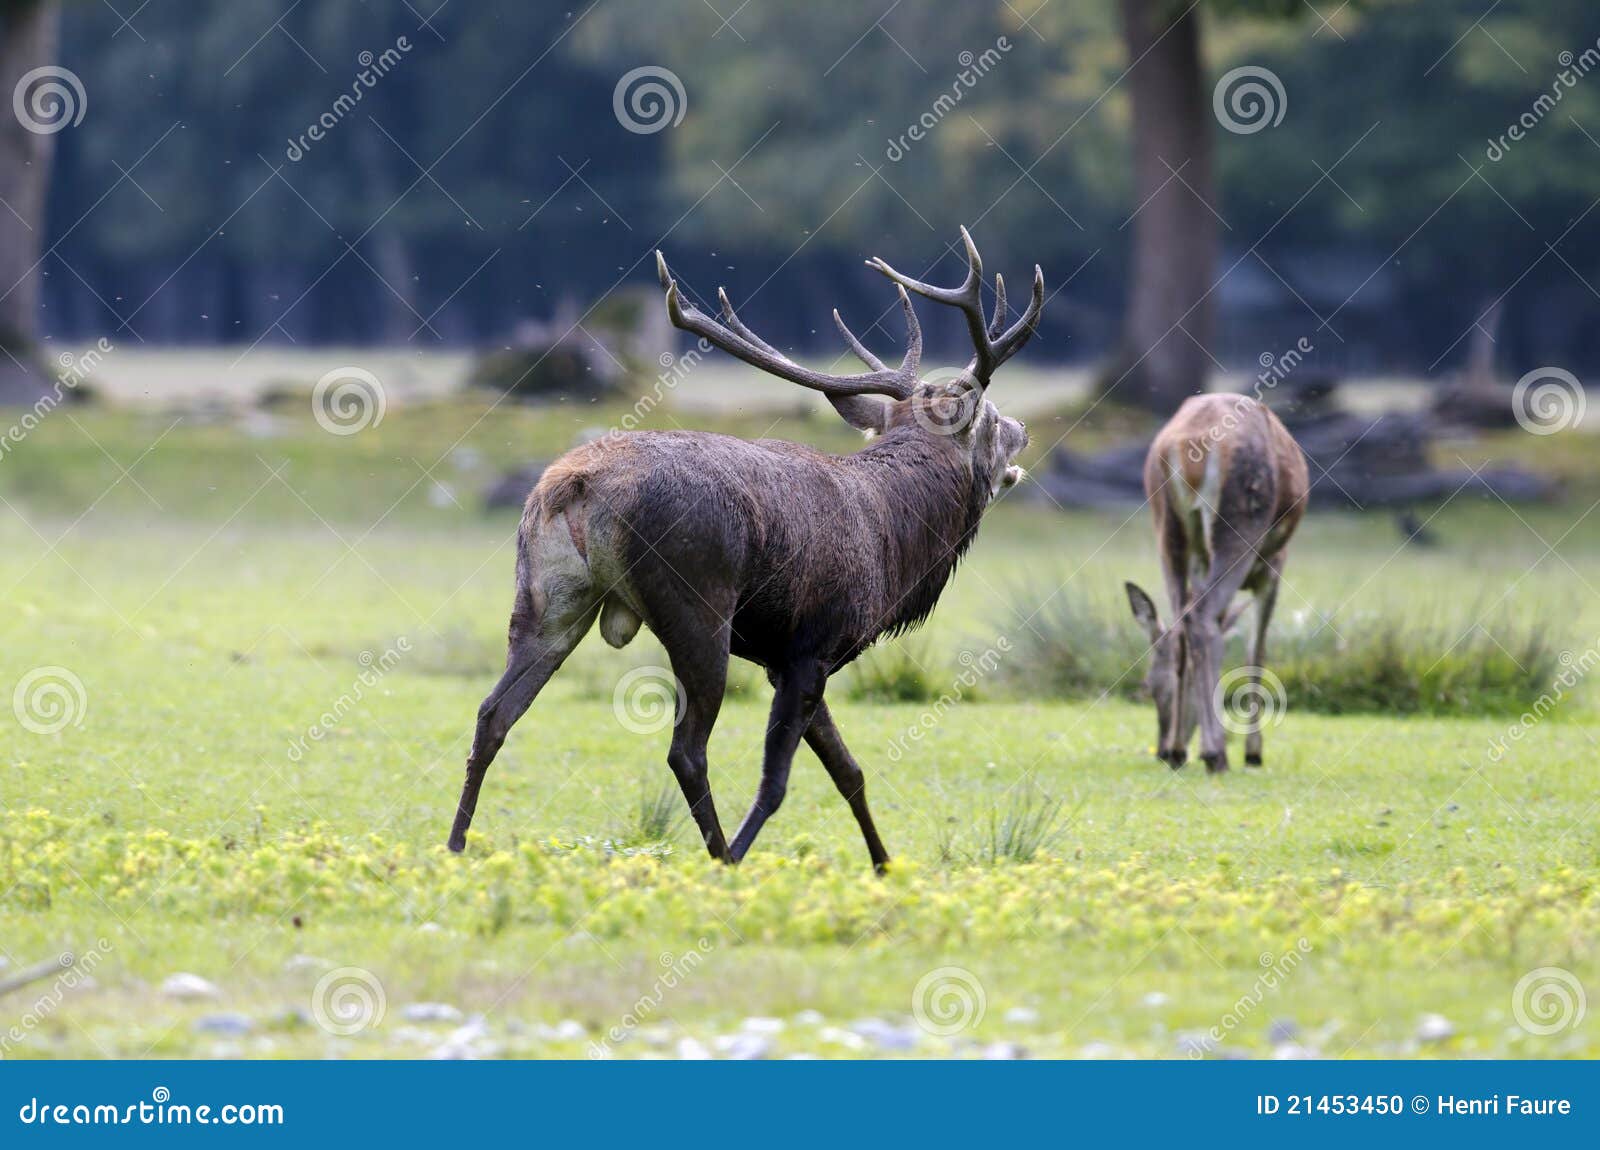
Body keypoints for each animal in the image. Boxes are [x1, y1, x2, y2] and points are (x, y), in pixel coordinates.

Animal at [447, 228, 1042, 871]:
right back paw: (721, 860)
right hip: (697, 605)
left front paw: (885, 866)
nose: (1024, 429)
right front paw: (742, 853)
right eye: (990, 418)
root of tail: (573, 487)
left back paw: (454, 845)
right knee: (685, 750)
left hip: (546, 597)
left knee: (493, 712)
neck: (892, 547)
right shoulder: (814, 642)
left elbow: (849, 771)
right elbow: (778, 782)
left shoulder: (790, 656)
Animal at [1123, 393, 1309, 774]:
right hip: (1240, 519)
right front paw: (1253, 752)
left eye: (1150, 686)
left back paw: (1181, 750)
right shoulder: (1274, 566)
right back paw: (1215, 752)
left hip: (1167, 528)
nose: (1158, 748)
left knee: (1184, 621)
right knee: (1202, 618)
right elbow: (1257, 650)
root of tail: (1183, 442)